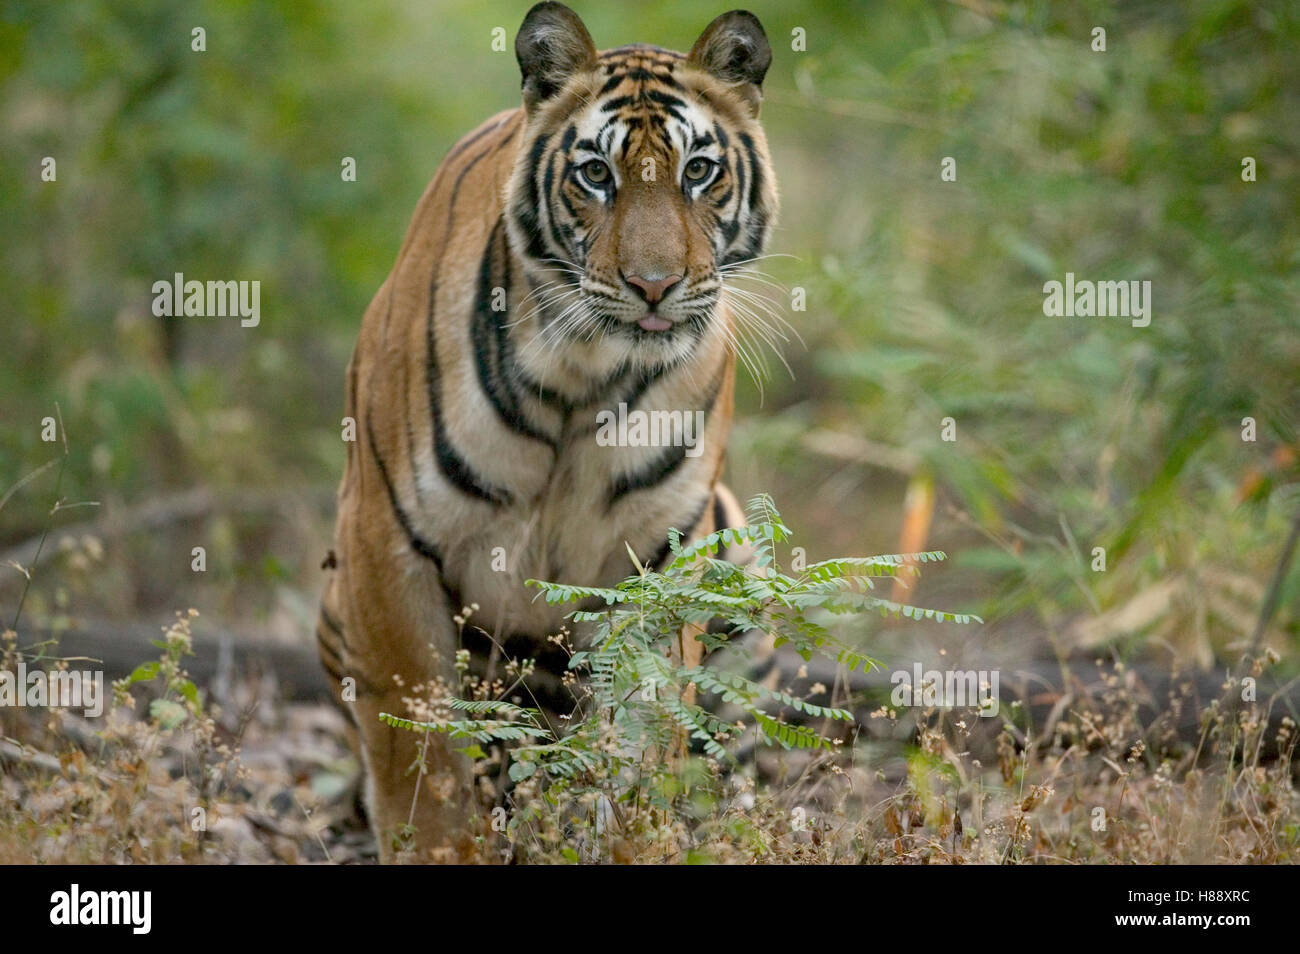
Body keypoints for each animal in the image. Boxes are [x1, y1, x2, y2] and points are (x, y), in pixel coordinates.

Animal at [316, 1, 778, 863]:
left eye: (700, 171)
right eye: (596, 174)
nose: (655, 286)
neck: (584, 373)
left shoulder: (657, 559)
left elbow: (642, 743)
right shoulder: (384, 537)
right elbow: (418, 755)